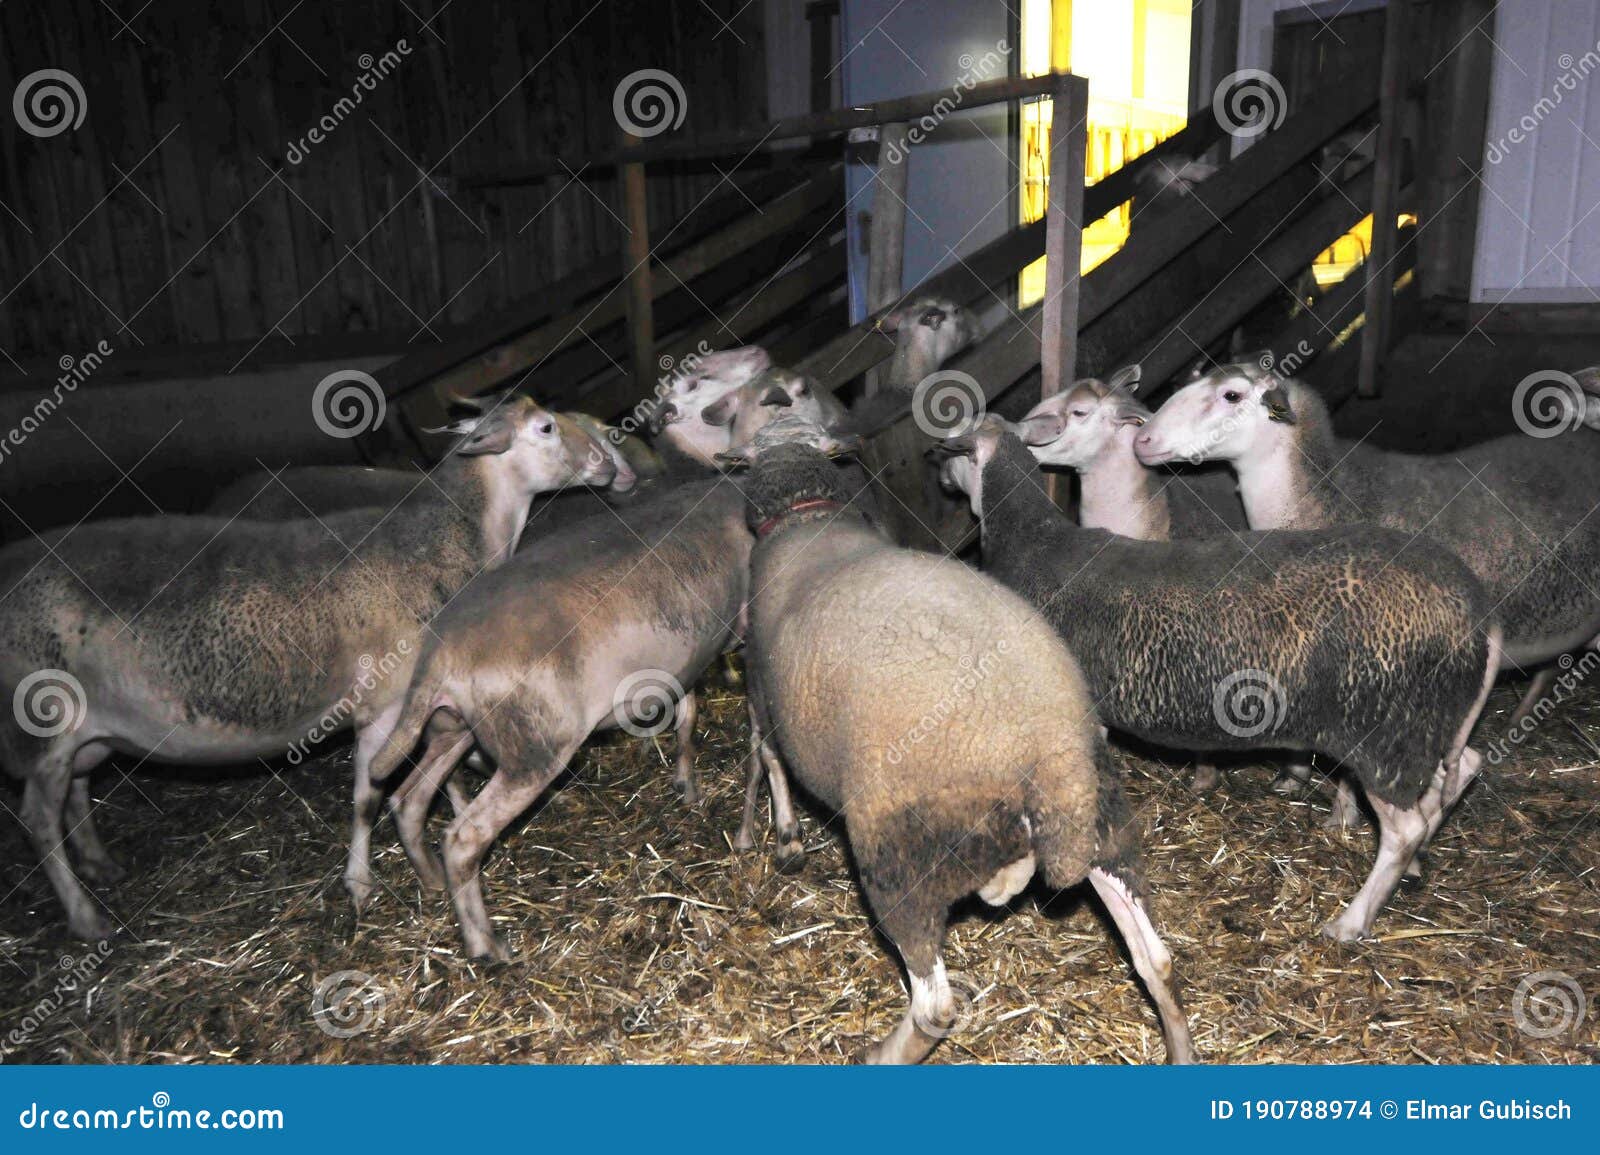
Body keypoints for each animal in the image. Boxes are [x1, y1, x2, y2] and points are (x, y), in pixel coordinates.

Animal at [0, 399, 621, 938]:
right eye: (546, 427)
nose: (609, 463)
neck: (444, 542)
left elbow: (447, 770)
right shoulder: (383, 705)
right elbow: (371, 795)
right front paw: (360, 884)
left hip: (89, 733)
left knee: (78, 790)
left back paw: (100, 864)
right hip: (41, 726)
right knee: (38, 820)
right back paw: (86, 918)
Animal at [362, 469, 753, 961]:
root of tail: (440, 657)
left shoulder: (685, 661)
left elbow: (687, 716)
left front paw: (686, 785)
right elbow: (693, 714)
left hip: (456, 730)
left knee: (409, 800)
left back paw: (433, 884)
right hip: (532, 749)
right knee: (463, 839)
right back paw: (487, 945)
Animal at [718, 414, 1193, 1064]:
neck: (803, 515)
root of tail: (1048, 747)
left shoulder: (763, 692)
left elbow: (768, 756)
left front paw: (784, 838)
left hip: (900, 855)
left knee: (933, 1006)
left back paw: (879, 1052)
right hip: (1106, 820)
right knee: (1155, 957)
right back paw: (1181, 1049)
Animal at [939, 415, 1499, 942]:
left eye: (958, 448)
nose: (942, 475)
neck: (1031, 540)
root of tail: (1477, 609)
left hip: (1385, 728)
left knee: (1405, 827)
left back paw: (1351, 921)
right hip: (1430, 719)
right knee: (1457, 771)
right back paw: (1417, 864)